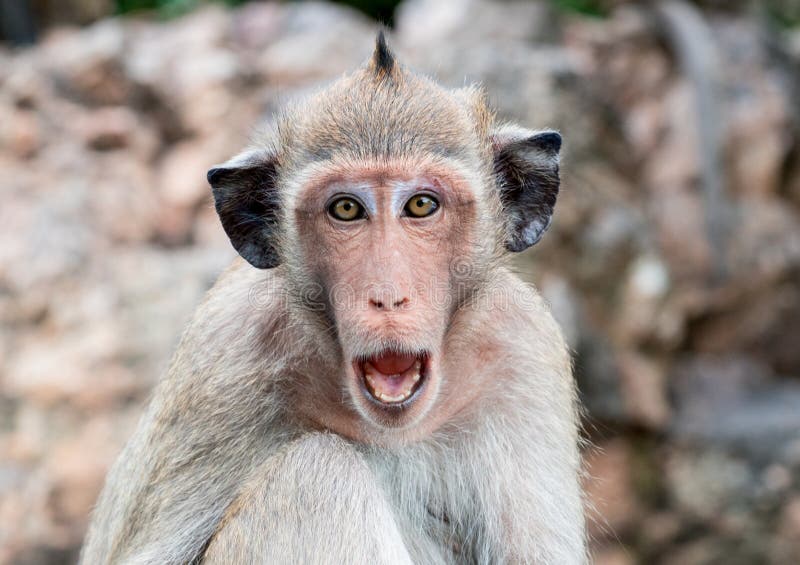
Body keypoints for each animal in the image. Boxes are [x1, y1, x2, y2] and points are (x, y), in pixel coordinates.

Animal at [80, 33, 586, 564]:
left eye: (421, 205)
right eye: (346, 209)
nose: (387, 296)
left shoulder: (523, 350)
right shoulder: (225, 351)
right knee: (319, 469)